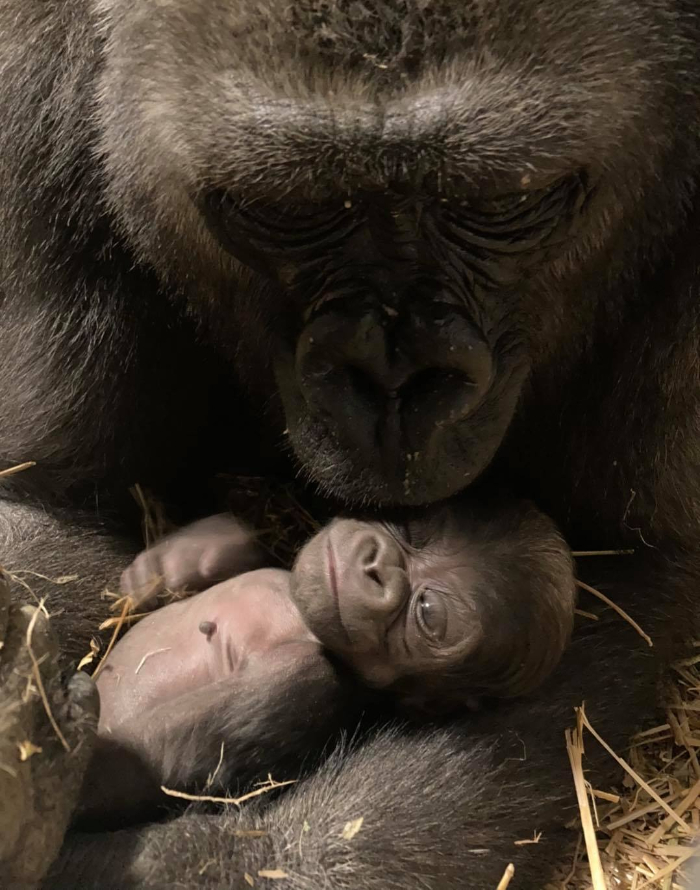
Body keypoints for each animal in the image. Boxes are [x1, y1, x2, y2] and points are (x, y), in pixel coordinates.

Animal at [1, 1, 700, 888]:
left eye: (504, 202)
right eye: (290, 208)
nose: (393, 380)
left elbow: (623, 576)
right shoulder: (32, 75)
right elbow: (46, 509)